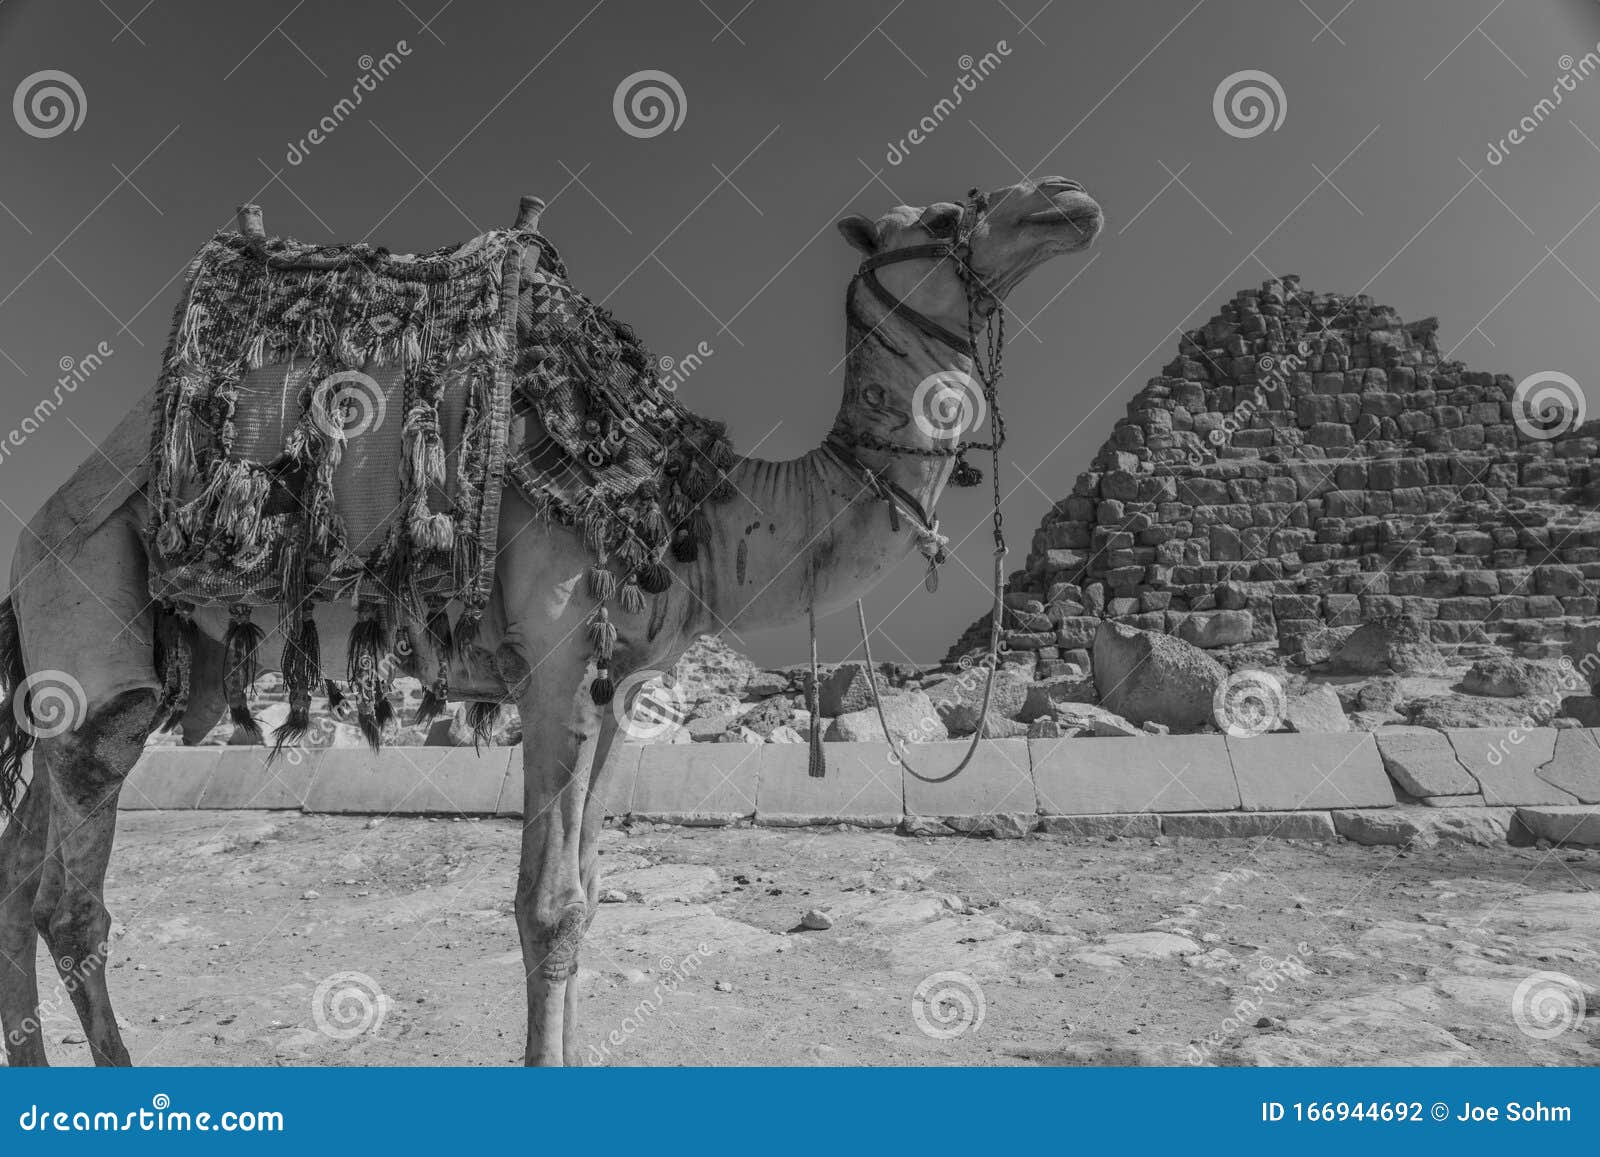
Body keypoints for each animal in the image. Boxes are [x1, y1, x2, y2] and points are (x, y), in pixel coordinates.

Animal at [0, 175, 1102, 1067]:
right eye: (949, 217)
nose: (1069, 202)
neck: (696, 510)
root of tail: (35, 531)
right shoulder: (559, 668)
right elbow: (550, 907)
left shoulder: (620, 687)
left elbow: (592, 891)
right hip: (90, 619)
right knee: (70, 903)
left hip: (104, 679)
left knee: (20, 874)